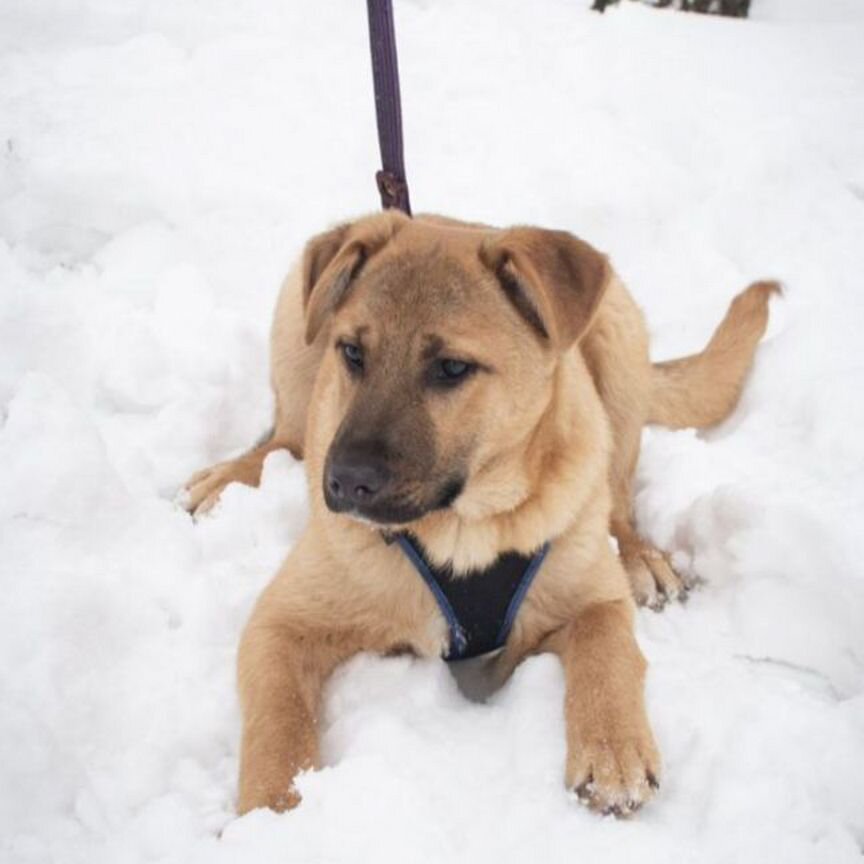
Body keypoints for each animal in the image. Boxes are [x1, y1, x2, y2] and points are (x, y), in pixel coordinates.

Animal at [184, 211, 776, 816]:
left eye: (451, 367)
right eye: (351, 352)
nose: (344, 483)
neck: (463, 530)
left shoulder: (592, 599)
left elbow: (605, 647)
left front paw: (614, 752)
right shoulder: (282, 623)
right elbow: (277, 725)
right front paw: (273, 814)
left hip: (616, 335)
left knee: (617, 496)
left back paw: (640, 557)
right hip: (297, 323)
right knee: (287, 437)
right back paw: (229, 478)